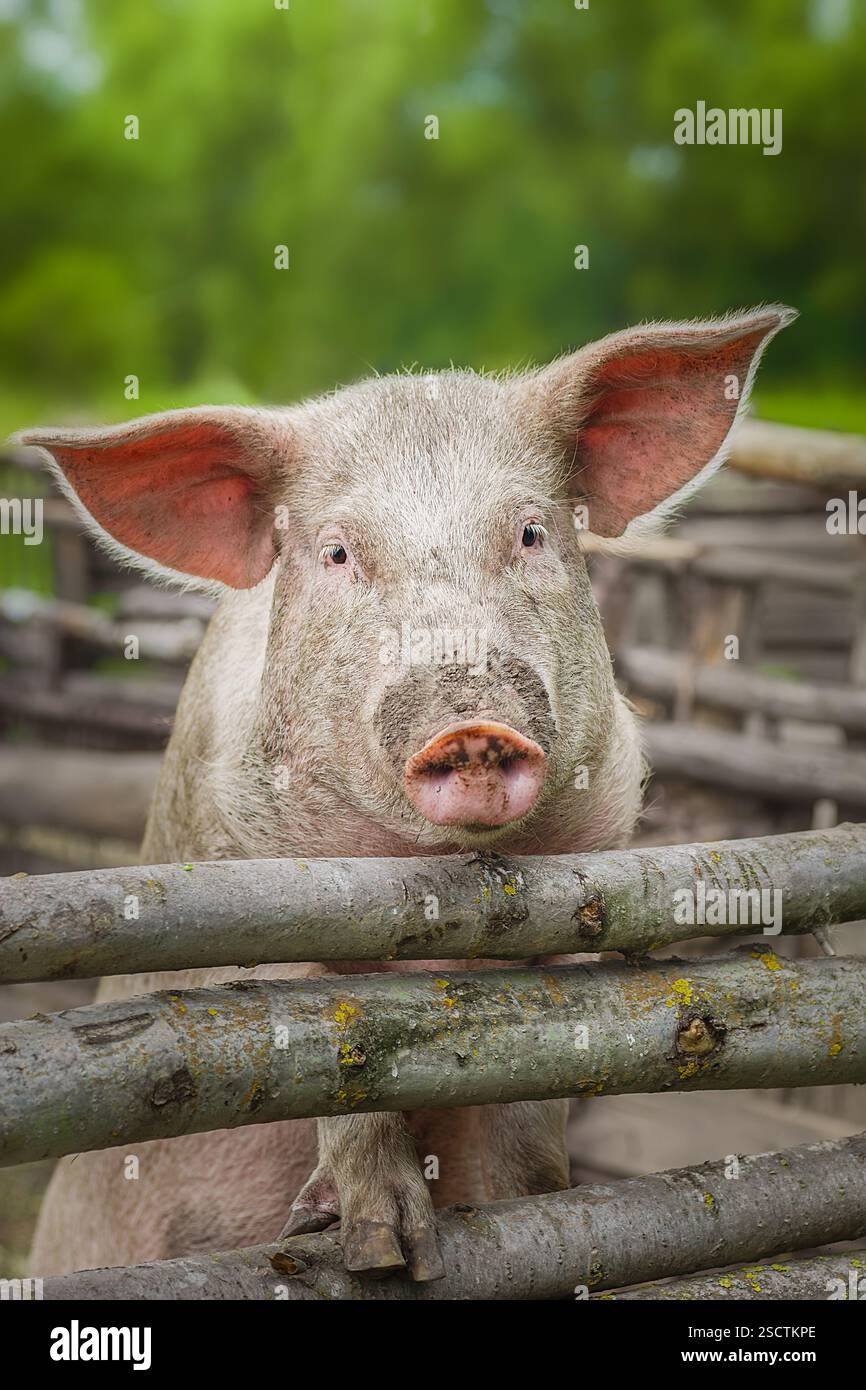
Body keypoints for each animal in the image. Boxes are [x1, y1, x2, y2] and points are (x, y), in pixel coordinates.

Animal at [21, 306, 795, 1281]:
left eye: (531, 533)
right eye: (338, 552)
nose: (470, 721)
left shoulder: (595, 868)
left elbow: (541, 1092)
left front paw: (535, 1211)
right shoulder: (251, 871)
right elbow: (329, 1048)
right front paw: (381, 1254)